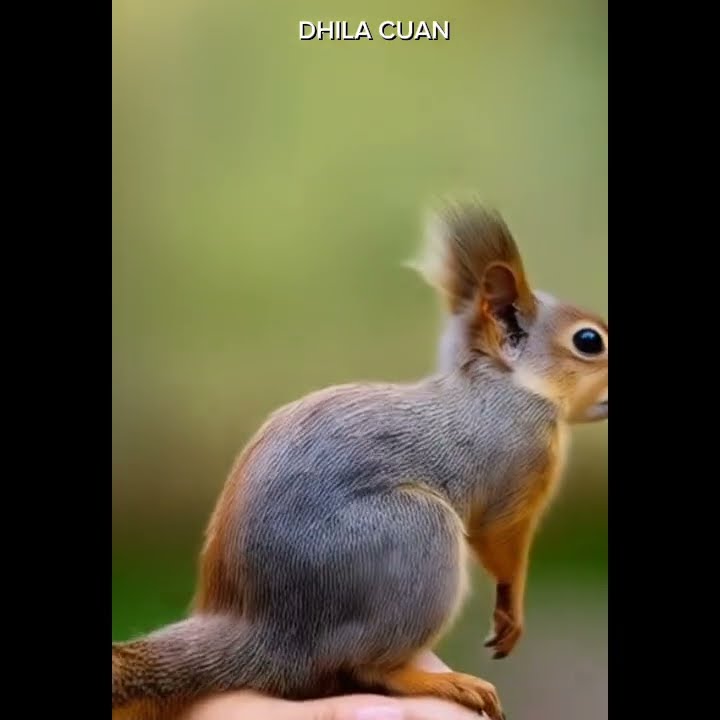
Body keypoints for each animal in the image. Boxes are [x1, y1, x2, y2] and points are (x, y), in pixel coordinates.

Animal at [112, 199, 608, 720]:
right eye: (589, 341)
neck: (508, 383)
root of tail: (269, 633)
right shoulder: (518, 468)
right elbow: (501, 543)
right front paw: (511, 611)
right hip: (412, 535)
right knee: (367, 667)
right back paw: (443, 682)